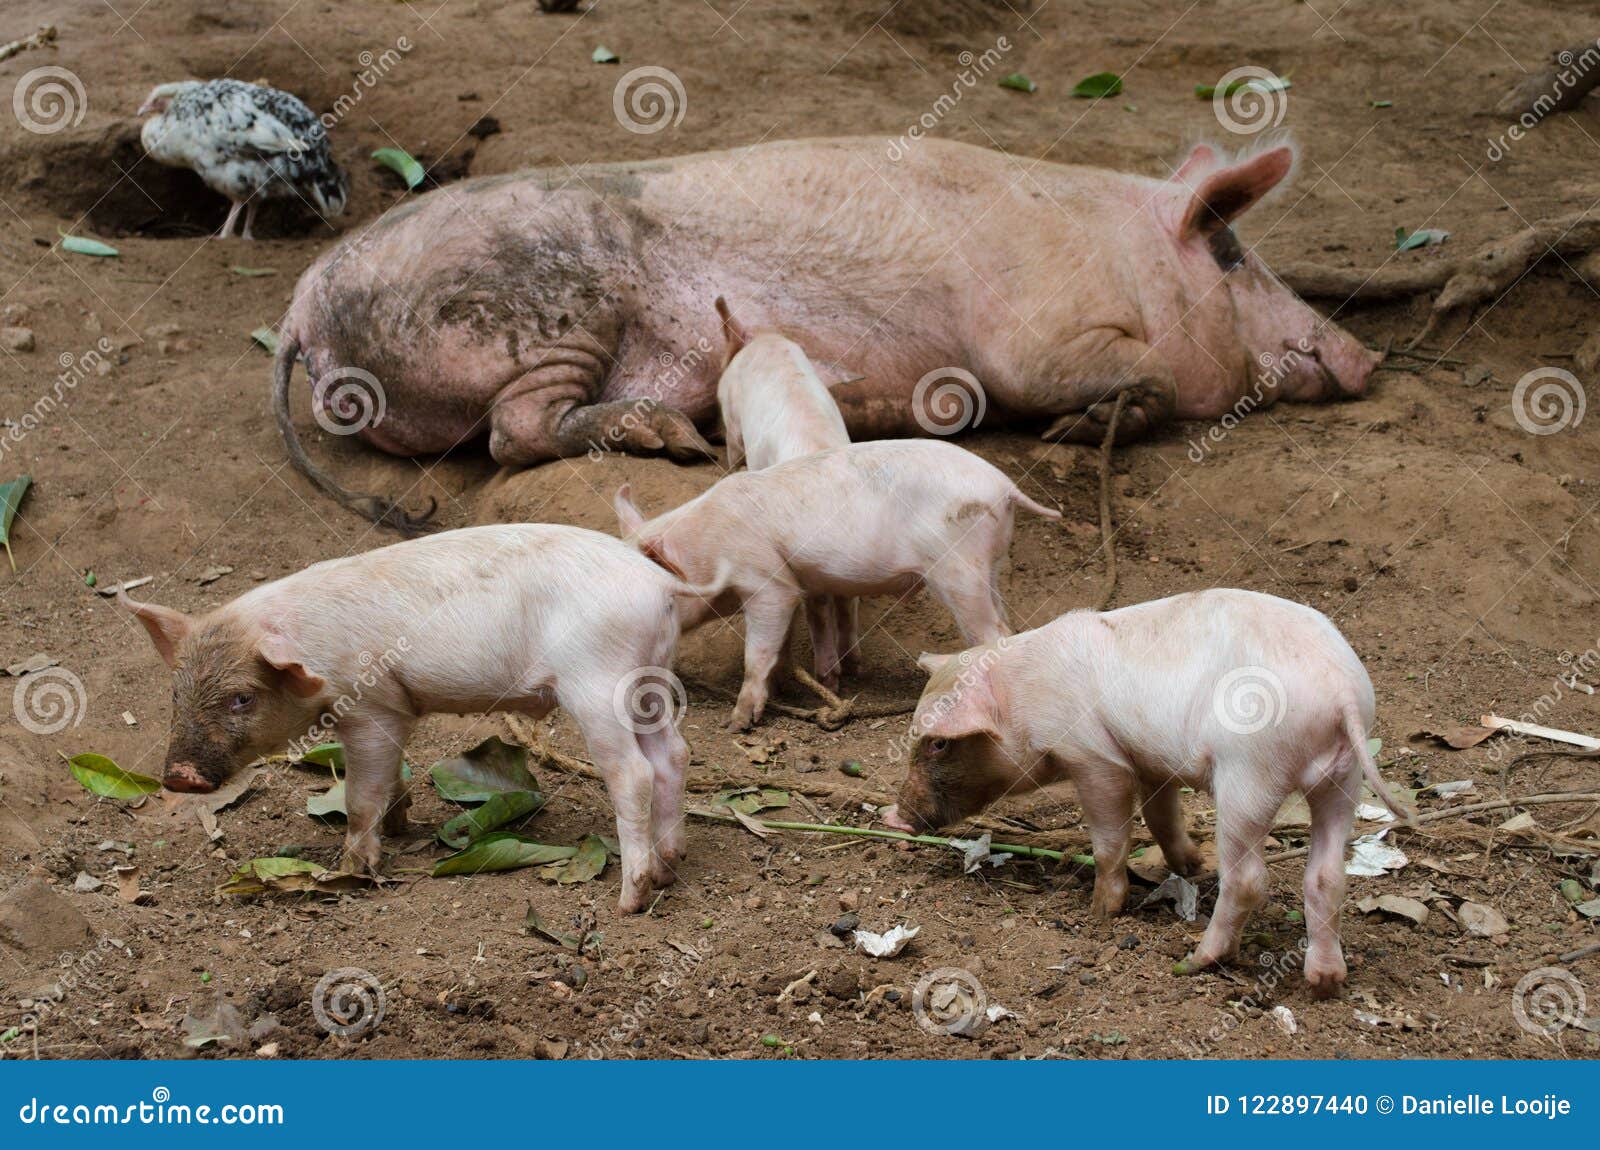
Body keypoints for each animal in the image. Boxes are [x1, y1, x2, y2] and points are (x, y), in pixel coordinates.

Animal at [119, 524, 726, 912]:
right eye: (175, 693)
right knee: (674, 756)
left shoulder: (371, 706)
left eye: (242, 699)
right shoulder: (397, 709)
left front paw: (353, 869)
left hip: (599, 681)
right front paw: (400, 825)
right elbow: (391, 777)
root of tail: (659, 581)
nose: (179, 776)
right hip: (648, 681)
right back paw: (670, 865)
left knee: (634, 773)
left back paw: (630, 900)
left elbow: (362, 792)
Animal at [273, 137, 1379, 531]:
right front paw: (1077, 431)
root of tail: (301, 306)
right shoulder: (1036, 337)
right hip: (550, 315)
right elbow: (1128, 379)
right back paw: (669, 438)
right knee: (515, 434)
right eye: (1233, 256)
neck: (1120, 252)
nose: (1368, 356)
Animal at [612, 439, 1061, 730]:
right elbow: (783, 643)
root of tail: (1005, 486)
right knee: (1005, 626)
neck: (707, 547)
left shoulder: (766, 579)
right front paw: (791, 689)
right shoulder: (794, 583)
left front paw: (738, 722)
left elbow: (757, 650)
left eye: (662, 598)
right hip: (989, 565)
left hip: (958, 566)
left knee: (992, 633)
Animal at [713, 295, 858, 686]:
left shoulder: (732, 420)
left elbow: (732, 450)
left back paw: (828, 676)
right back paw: (852, 666)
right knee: (845, 599)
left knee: (820, 606)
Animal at [882, 590, 1410, 997]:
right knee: (1327, 875)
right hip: (1342, 778)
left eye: (939, 743)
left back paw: (1196, 960)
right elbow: (1160, 815)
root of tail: (1341, 691)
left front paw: (1100, 912)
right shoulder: (1153, 760)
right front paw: (1189, 866)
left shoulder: (1095, 756)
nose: (895, 816)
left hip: (1250, 772)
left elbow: (1109, 838)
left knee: (1249, 878)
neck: (1021, 700)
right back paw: (1324, 983)